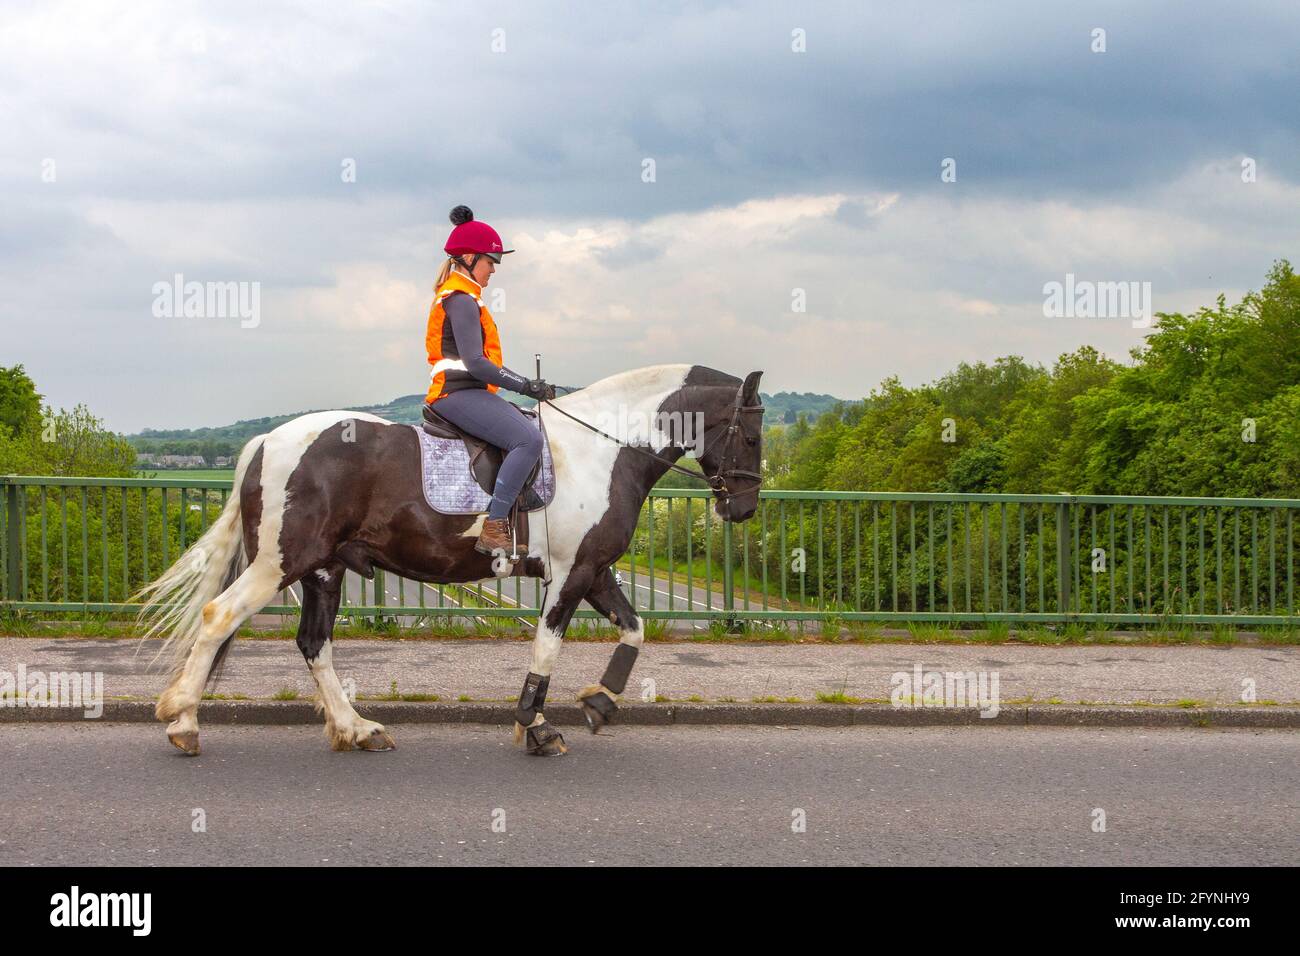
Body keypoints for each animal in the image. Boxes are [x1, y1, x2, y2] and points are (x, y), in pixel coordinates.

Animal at [136, 364, 765, 757]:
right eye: (754, 435)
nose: (745, 508)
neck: (601, 450)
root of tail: (266, 441)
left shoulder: (595, 570)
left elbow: (635, 629)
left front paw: (600, 703)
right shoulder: (572, 573)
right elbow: (547, 646)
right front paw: (536, 727)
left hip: (324, 571)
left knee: (315, 644)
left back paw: (356, 729)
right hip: (280, 563)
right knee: (219, 617)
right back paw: (184, 721)